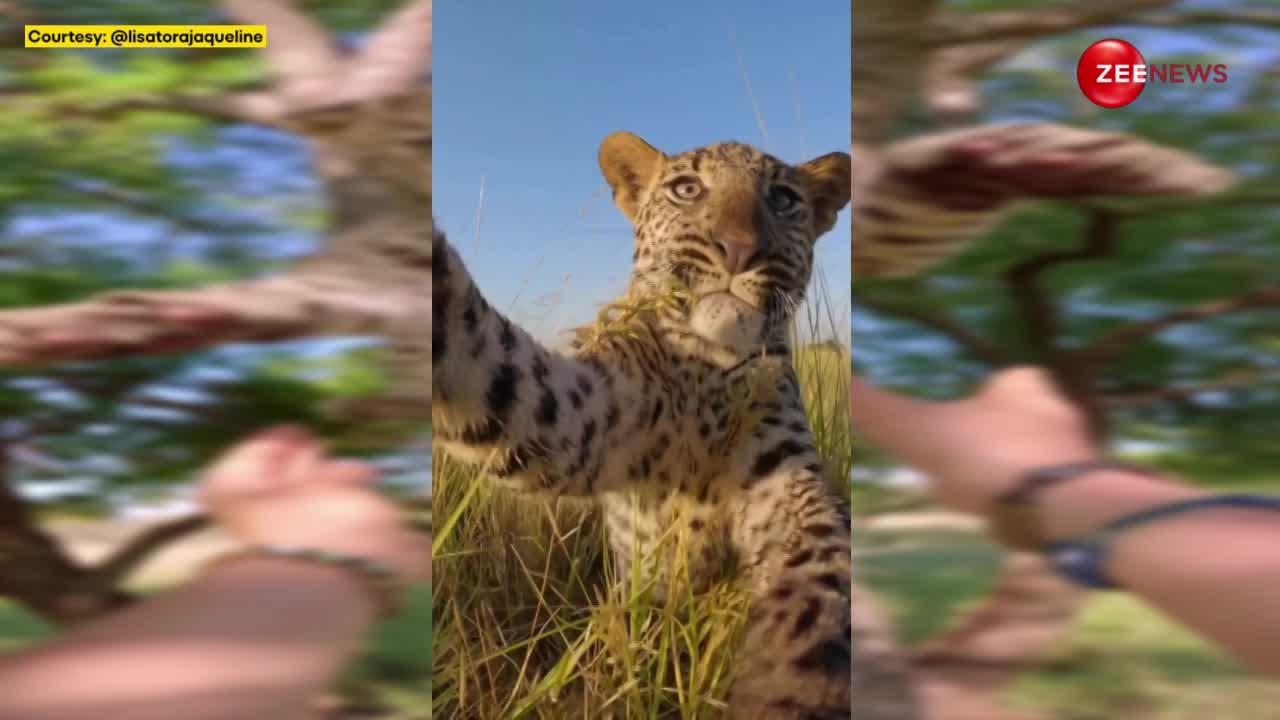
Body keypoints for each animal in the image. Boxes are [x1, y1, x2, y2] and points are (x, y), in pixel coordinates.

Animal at [432, 131, 853, 718]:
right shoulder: (580, 416)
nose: (739, 248)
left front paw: (799, 679)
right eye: (687, 188)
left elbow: (819, 558)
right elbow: (490, 356)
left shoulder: (781, 474)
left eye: (784, 199)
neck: (709, 366)